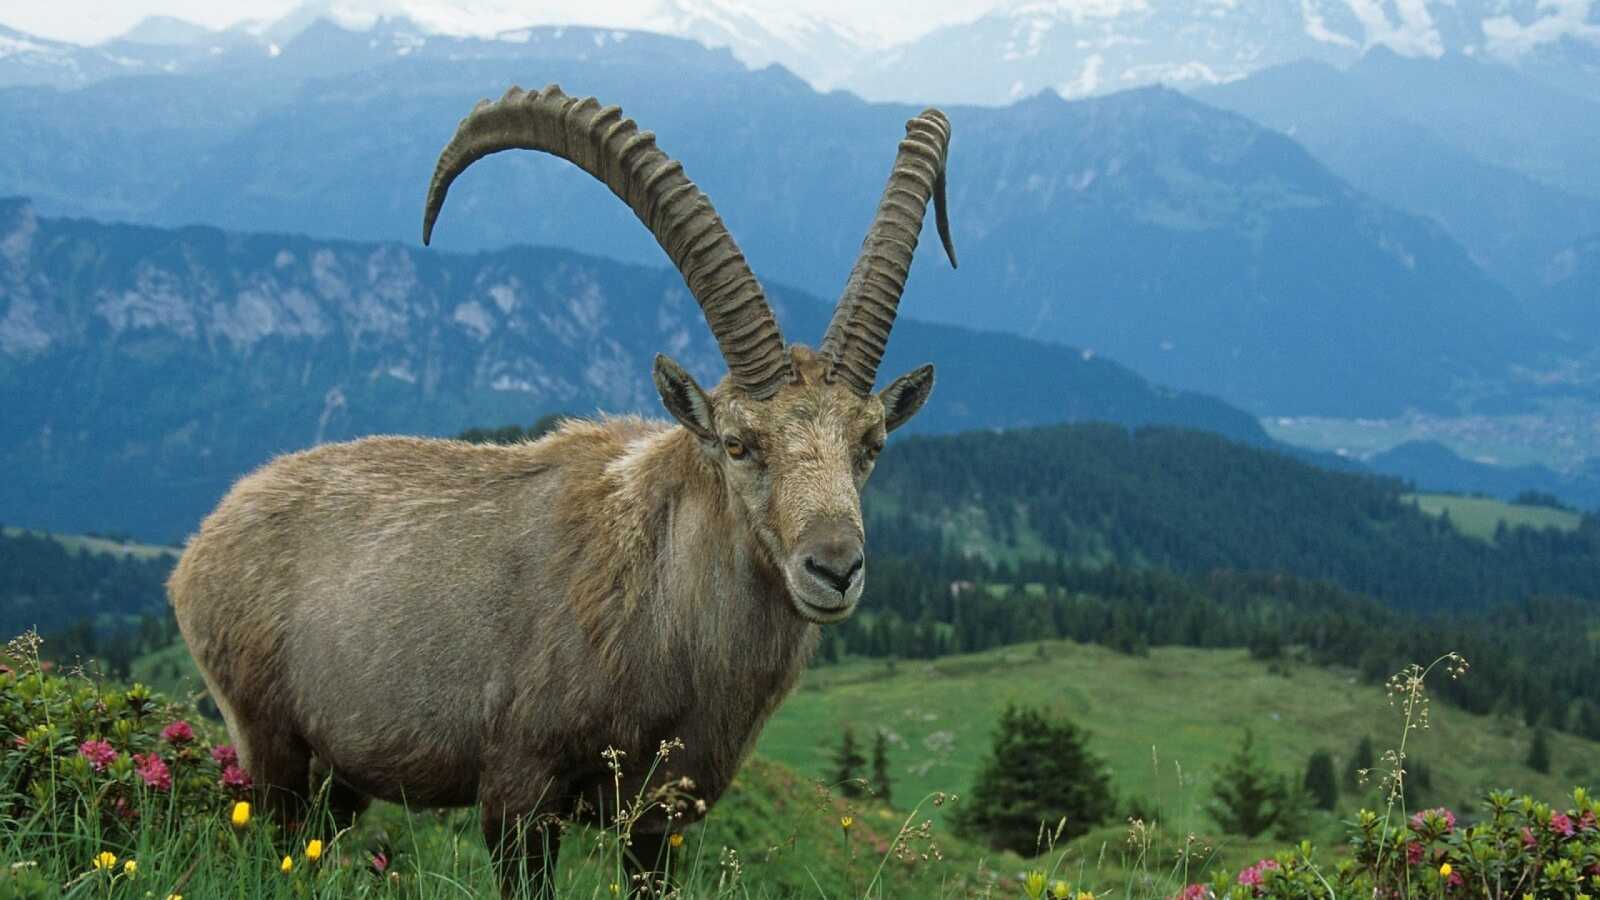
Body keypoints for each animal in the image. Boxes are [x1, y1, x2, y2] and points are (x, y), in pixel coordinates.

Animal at [168, 83, 956, 897]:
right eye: (739, 443)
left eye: (871, 444)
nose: (834, 568)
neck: (659, 603)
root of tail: (201, 544)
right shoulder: (518, 794)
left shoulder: (659, 819)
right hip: (268, 741)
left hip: (341, 778)